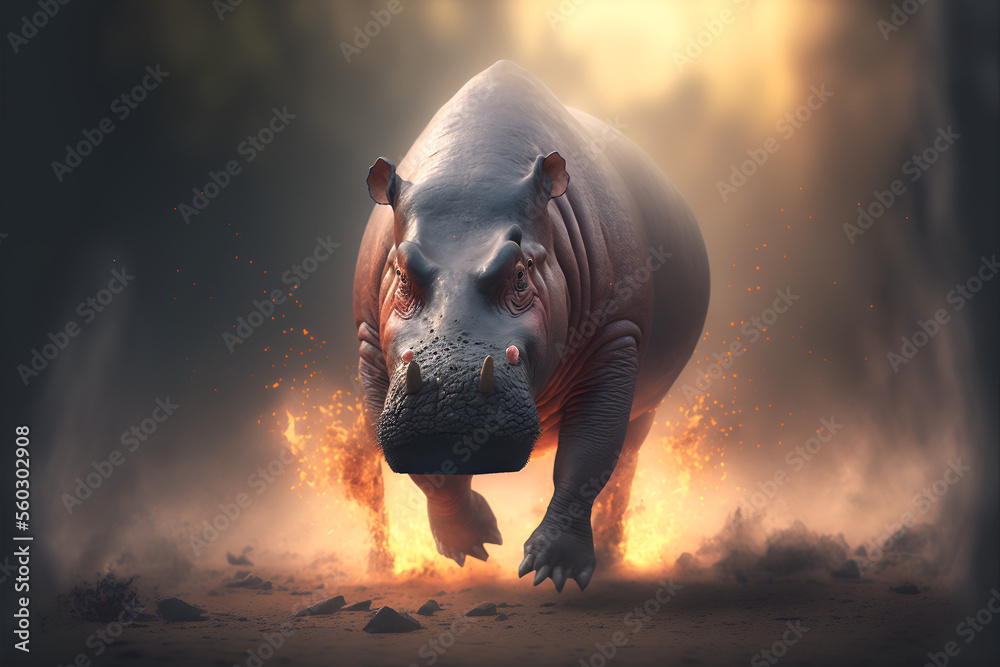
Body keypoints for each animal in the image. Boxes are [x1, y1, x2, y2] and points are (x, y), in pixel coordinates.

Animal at [353, 61, 709, 591]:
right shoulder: (372, 349)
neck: (471, 173)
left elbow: (588, 453)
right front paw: (470, 546)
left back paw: (614, 557)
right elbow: (428, 474)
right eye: (400, 273)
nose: (450, 399)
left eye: (521, 273)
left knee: (626, 452)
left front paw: (555, 570)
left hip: (644, 396)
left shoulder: (616, 335)